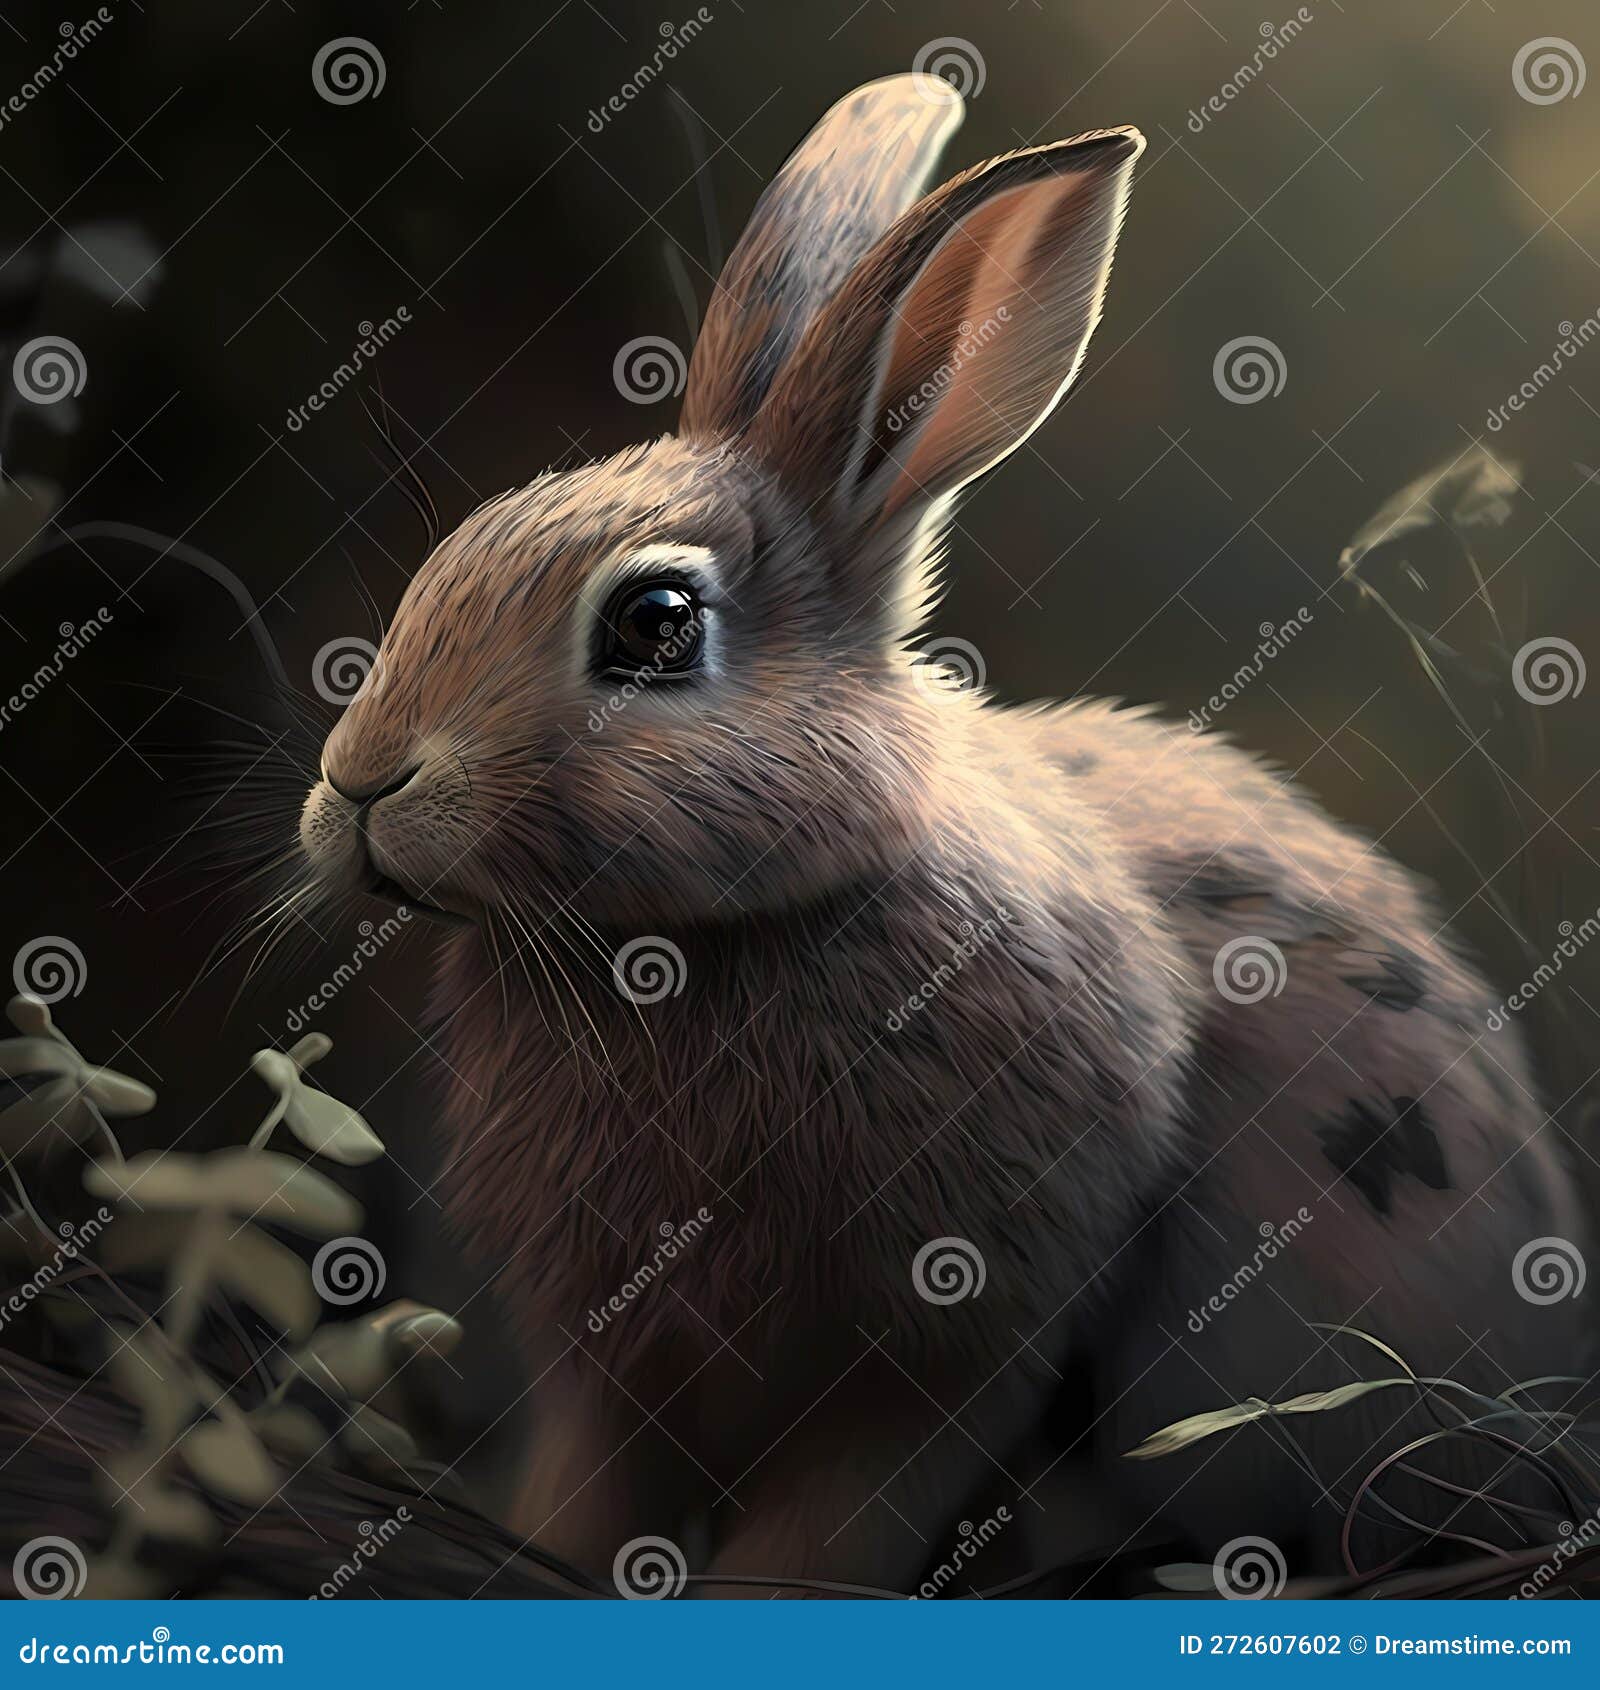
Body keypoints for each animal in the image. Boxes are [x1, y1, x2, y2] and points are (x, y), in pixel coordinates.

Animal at [298, 75, 1592, 1593]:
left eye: (654, 624)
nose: (360, 783)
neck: (705, 939)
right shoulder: (606, 1365)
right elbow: (586, 1495)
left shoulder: (954, 1347)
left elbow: (836, 1519)